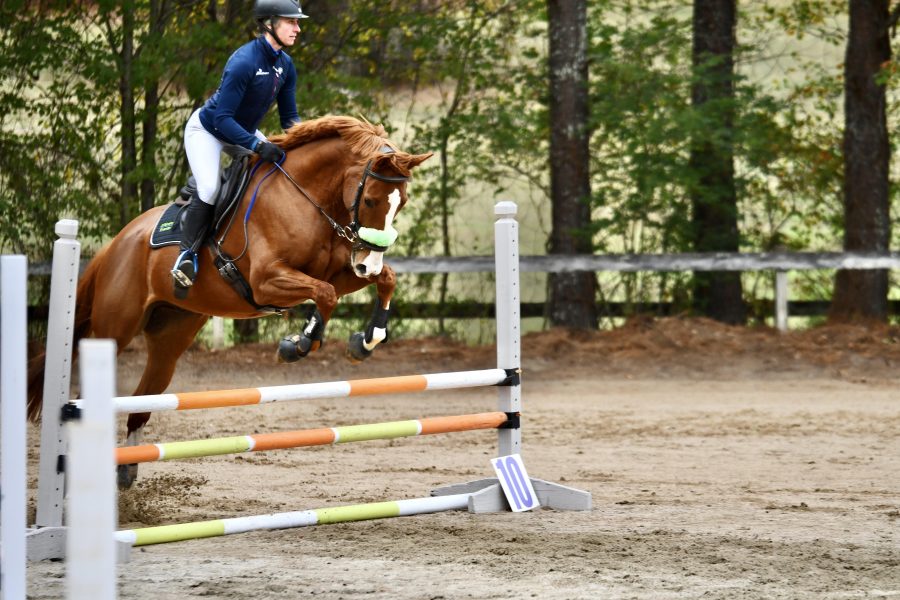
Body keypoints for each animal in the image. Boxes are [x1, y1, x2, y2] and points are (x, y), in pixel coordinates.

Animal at [27, 115, 432, 488]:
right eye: (371, 199)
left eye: (402, 203)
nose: (369, 260)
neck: (308, 197)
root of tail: (116, 243)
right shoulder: (266, 281)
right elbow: (325, 295)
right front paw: (299, 343)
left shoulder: (342, 272)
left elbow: (382, 280)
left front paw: (365, 341)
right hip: (115, 329)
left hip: (170, 339)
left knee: (142, 400)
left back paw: (126, 470)